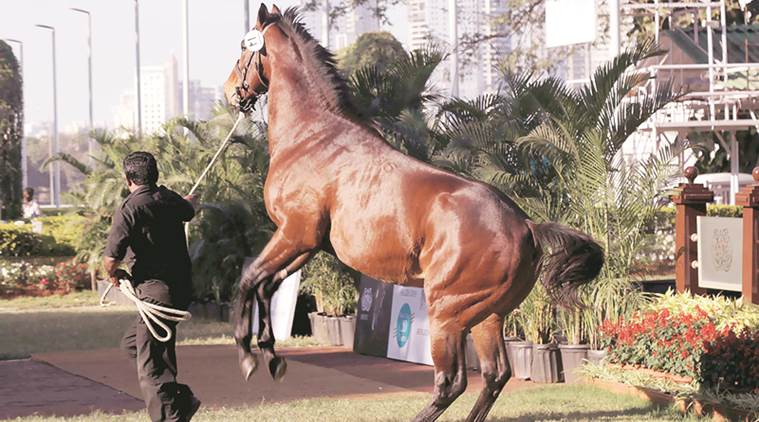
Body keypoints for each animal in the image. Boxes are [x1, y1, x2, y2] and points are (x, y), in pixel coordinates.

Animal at [223, 5, 604, 422]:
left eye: (243, 49)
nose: (230, 90)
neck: (313, 137)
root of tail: (526, 225)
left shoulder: (294, 233)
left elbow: (248, 279)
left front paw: (248, 357)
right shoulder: (305, 243)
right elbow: (266, 286)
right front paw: (271, 355)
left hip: (447, 313)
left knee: (452, 381)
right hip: (489, 316)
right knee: (495, 375)